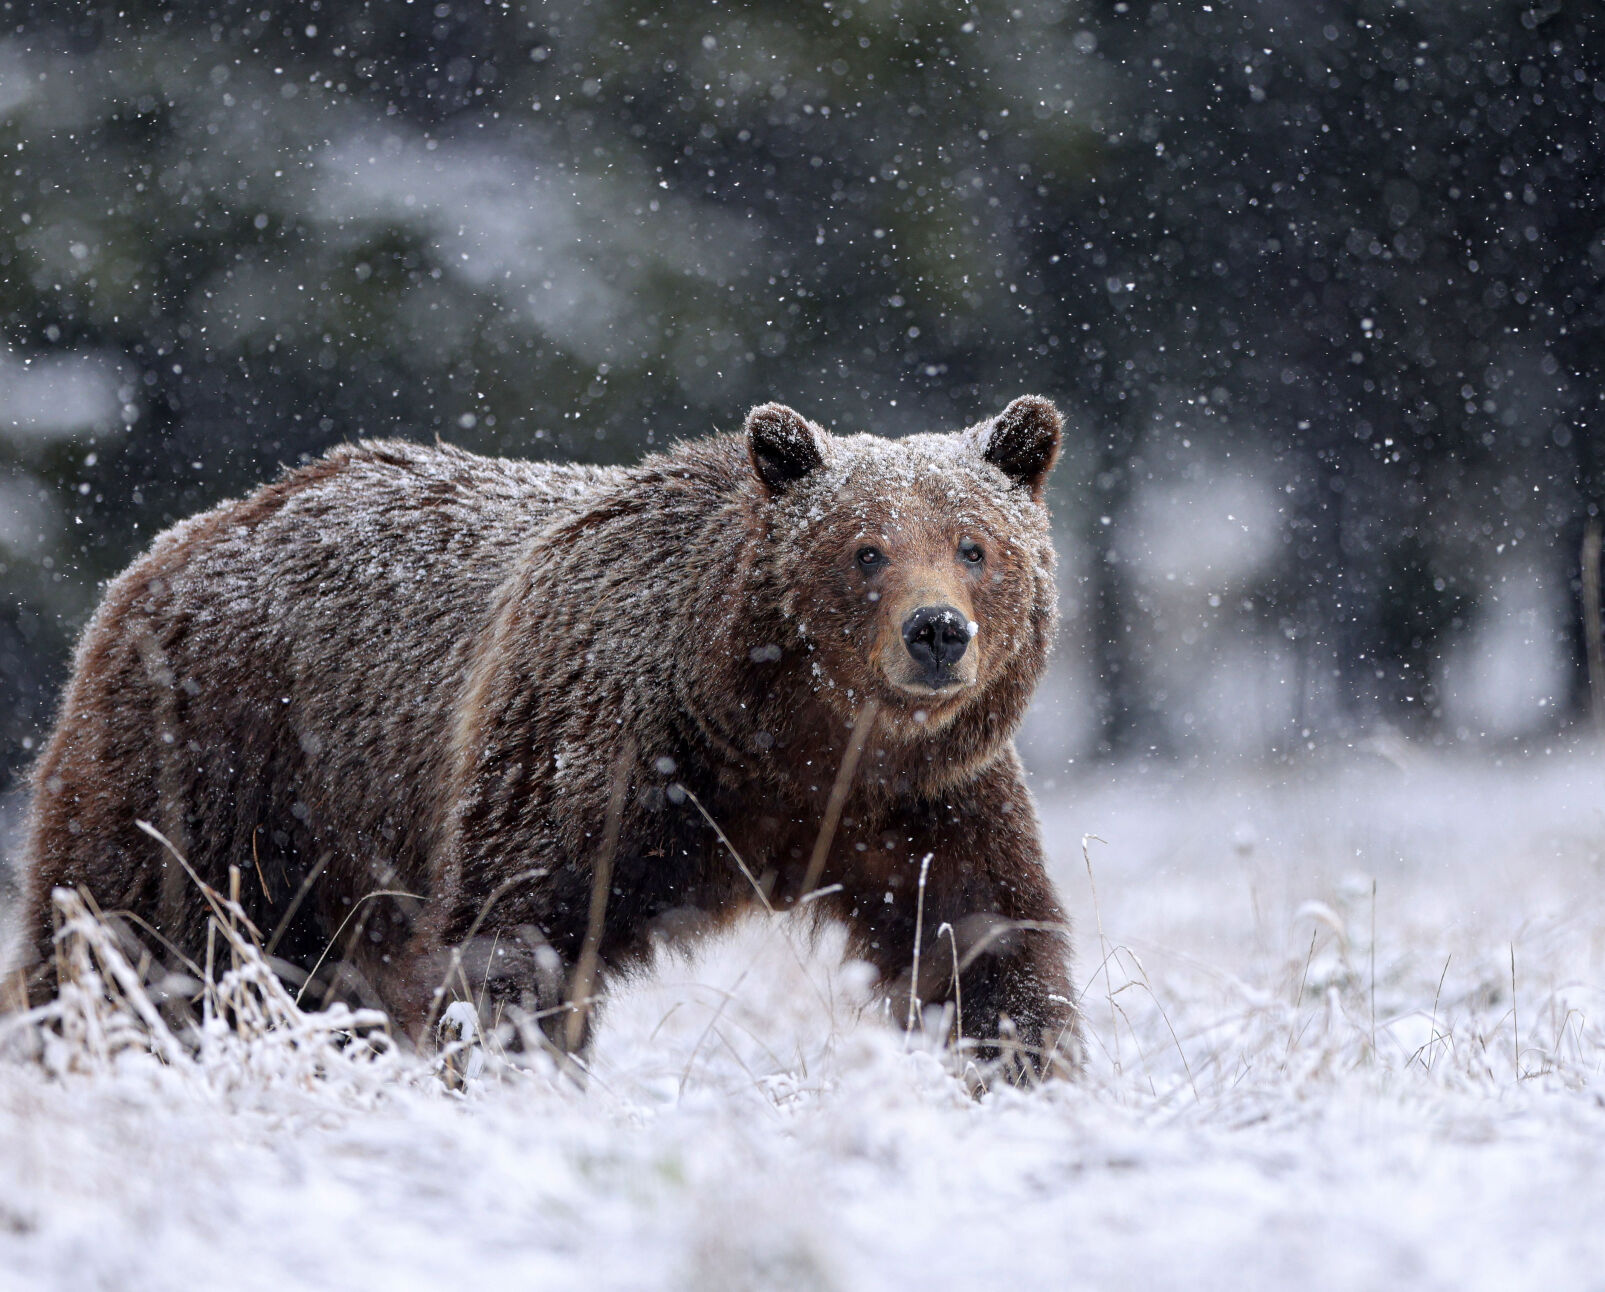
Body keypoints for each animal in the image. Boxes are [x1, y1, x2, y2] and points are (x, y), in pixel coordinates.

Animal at [11, 396, 1080, 1079]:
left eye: (974, 545)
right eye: (865, 550)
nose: (935, 631)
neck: (782, 741)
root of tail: (174, 547)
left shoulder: (918, 799)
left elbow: (979, 936)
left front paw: (1019, 1066)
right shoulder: (594, 743)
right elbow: (519, 934)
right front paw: (508, 1070)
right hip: (224, 763)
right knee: (131, 934)